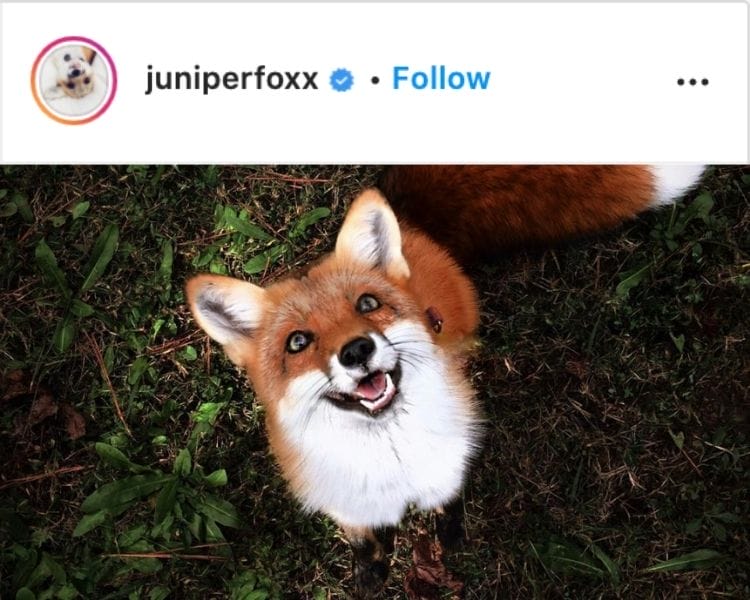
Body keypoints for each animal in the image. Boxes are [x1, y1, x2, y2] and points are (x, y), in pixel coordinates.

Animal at [185, 165, 704, 597]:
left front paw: (451, 540)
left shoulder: (447, 470)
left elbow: (449, 507)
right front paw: (372, 574)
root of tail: (412, 225)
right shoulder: (347, 504)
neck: (394, 459)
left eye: (368, 304)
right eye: (297, 342)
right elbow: (365, 545)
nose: (356, 350)